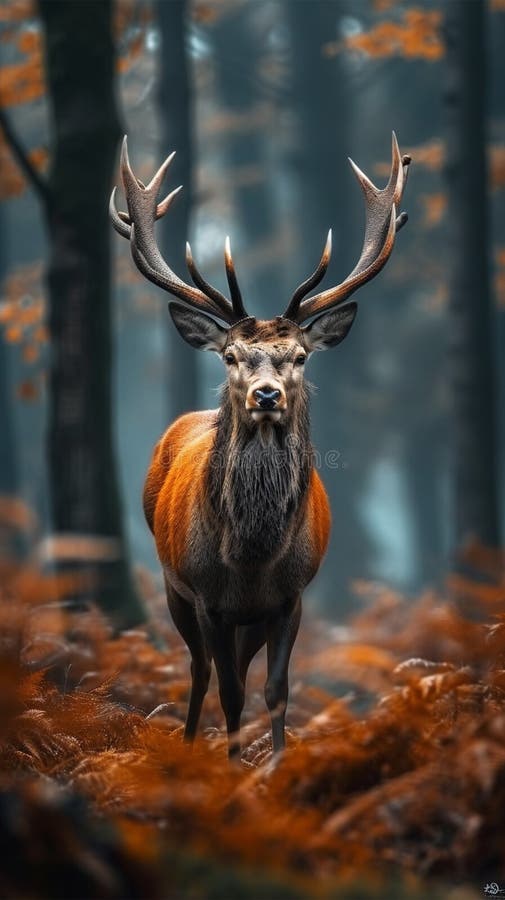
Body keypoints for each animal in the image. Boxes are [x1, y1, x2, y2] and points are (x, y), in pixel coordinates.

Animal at [110, 133, 410, 760]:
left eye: (300, 356)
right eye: (230, 356)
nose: (266, 394)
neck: (250, 560)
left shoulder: (290, 597)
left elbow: (275, 689)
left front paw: (275, 764)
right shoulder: (206, 597)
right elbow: (227, 690)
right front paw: (229, 769)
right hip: (173, 586)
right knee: (200, 670)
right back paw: (190, 743)